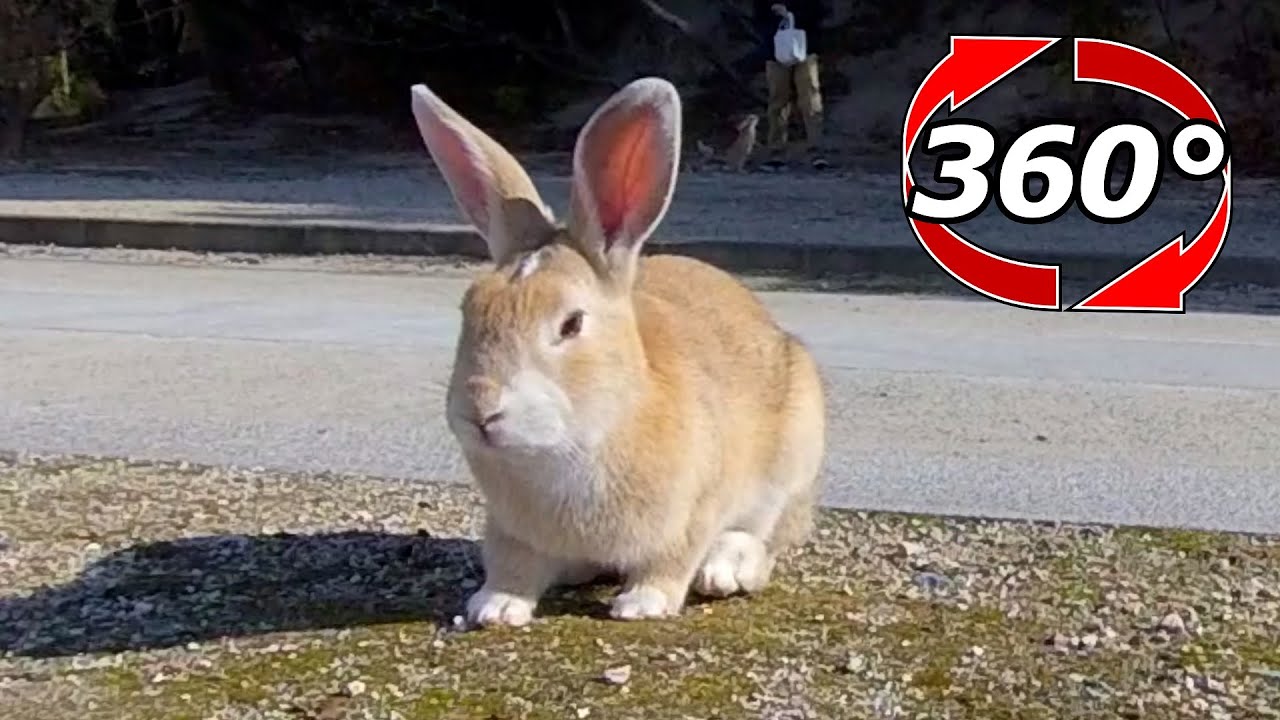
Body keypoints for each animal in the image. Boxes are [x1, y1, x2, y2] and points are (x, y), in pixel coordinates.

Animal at [409, 76, 827, 628]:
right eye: (468, 307)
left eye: (571, 323)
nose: (480, 409)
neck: (580, 438)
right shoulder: (509, 529)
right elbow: (511, 565)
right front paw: (495, 607)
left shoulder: (691, 512)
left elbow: (671, 559)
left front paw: (642, 604)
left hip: (793, 460)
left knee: (766, 539)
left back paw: (724, 571)